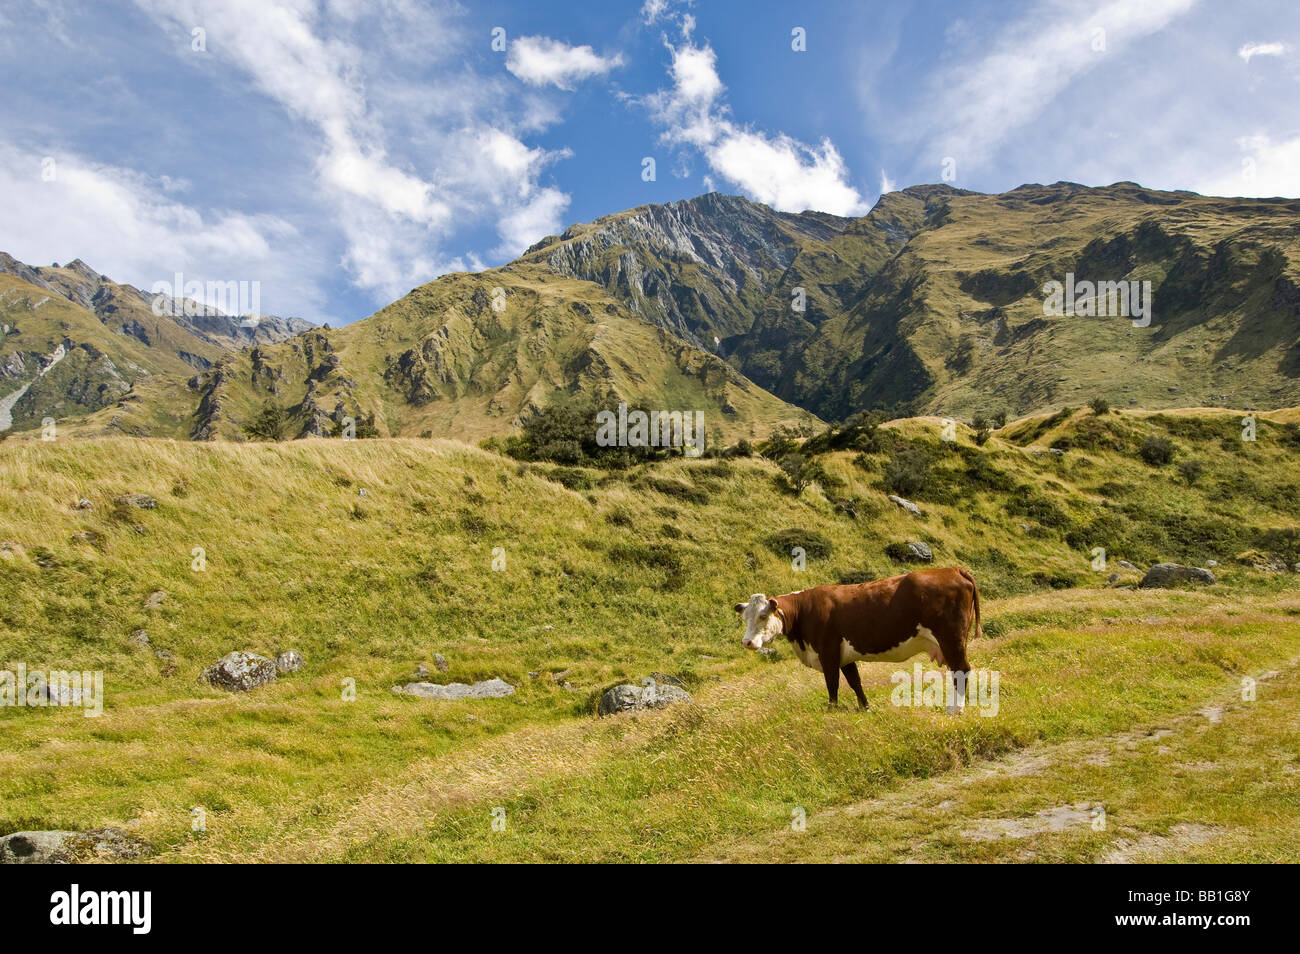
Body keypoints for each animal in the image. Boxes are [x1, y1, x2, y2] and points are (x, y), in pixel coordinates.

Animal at [735, 567, 982, 710]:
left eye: (763, 615)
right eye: (745, 617)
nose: (747, 642)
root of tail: (952, 569)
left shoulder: (828, 652)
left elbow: (832, 684)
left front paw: (831, 710)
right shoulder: (845, 656)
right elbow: (855, 682)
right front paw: (865, 707)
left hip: (951, 639)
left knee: (961, 670)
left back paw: (956, 709)